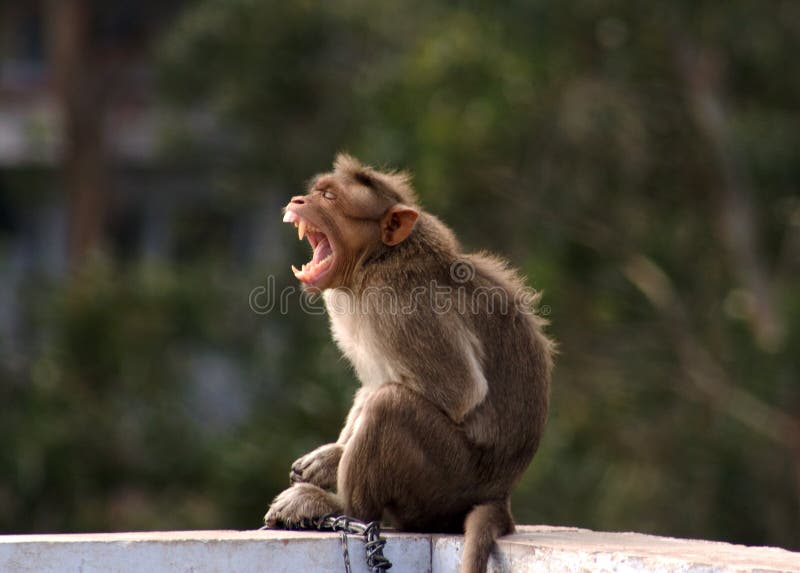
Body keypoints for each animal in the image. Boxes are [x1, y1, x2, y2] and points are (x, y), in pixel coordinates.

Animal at [264, 154, 554, 573]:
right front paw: (330, 456)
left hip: (445, 482)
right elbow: (372, 384)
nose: (299, 201)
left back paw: (344, 508)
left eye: (330, 198)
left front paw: (331, 464)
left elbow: (458, 391)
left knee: (391, 405)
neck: (375, 260)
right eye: (317, 191)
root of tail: (499, 496)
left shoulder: (397, 304)